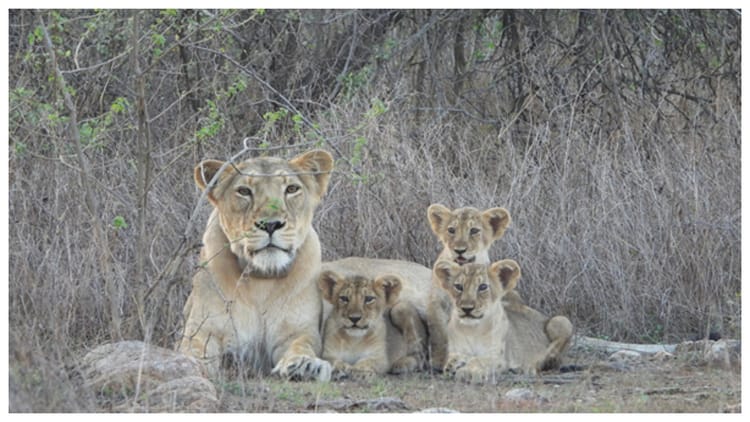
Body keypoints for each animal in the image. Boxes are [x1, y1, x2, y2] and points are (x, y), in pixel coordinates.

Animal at [177, 149, 334, 382]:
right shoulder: (205, 330)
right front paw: (189, 365)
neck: (262, 280)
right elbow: (193, 349)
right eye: (244, 191)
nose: (270, 224)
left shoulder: (297, 331)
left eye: (291, 189)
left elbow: (302, 345)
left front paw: (305, 365)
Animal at [432, 259, 573, 383]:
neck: (472, 329)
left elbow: (479, 360)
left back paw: (527, 366)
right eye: (458, 287)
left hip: (561, 321)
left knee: (550, 357)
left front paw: (468, 372)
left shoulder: (498, 357)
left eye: (483, 287)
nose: (467, 308)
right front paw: (453, 364)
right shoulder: (456, 349)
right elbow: (458, 357)